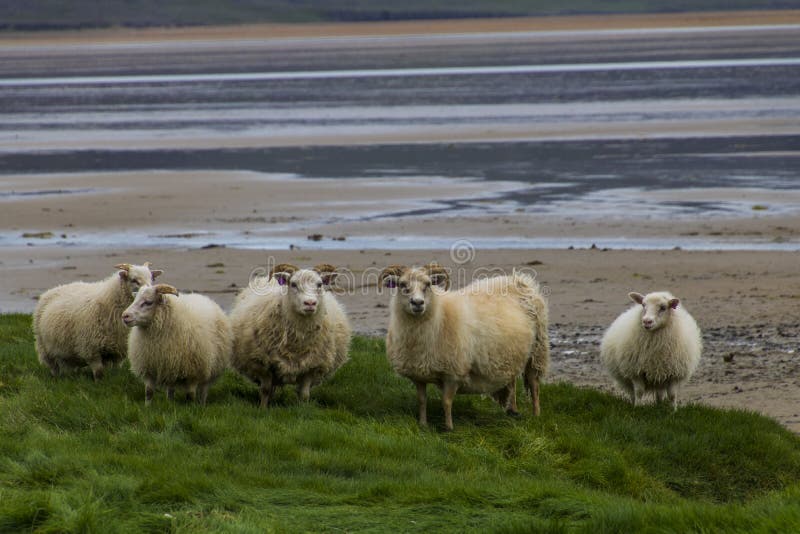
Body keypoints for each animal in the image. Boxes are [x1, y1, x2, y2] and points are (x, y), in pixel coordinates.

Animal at [33, 262, 163, 380]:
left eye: (152, 279)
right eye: (134, 280)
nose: (149, 291)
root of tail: (55, 288)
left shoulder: (117, 351)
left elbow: (114, 371)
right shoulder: (91, 349)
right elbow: (99, 372)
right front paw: (99, 383)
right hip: (44, 347)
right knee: (53, 366)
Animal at [230, 263, 351, 408]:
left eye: (320, 284)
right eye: (293, 284)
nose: (310, 303)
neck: (298, 344)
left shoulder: (311, 366)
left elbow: (304, 394)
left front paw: (303, 409)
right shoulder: (263, 363)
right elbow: (265, 390)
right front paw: (263, 408)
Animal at [380, 263, 549, 431]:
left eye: (428, 284)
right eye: (402, 285)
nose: (417, 303)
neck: (439, 316)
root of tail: (519, 280)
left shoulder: (453, 373)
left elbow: (446, 402)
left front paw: (448, 428)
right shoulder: (418, 375)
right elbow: (421, 400)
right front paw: (423, 425)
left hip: (537, 350)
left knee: (534, 385)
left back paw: (536, 415)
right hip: (510, 353)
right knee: (511, 381)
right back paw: (512, 411)